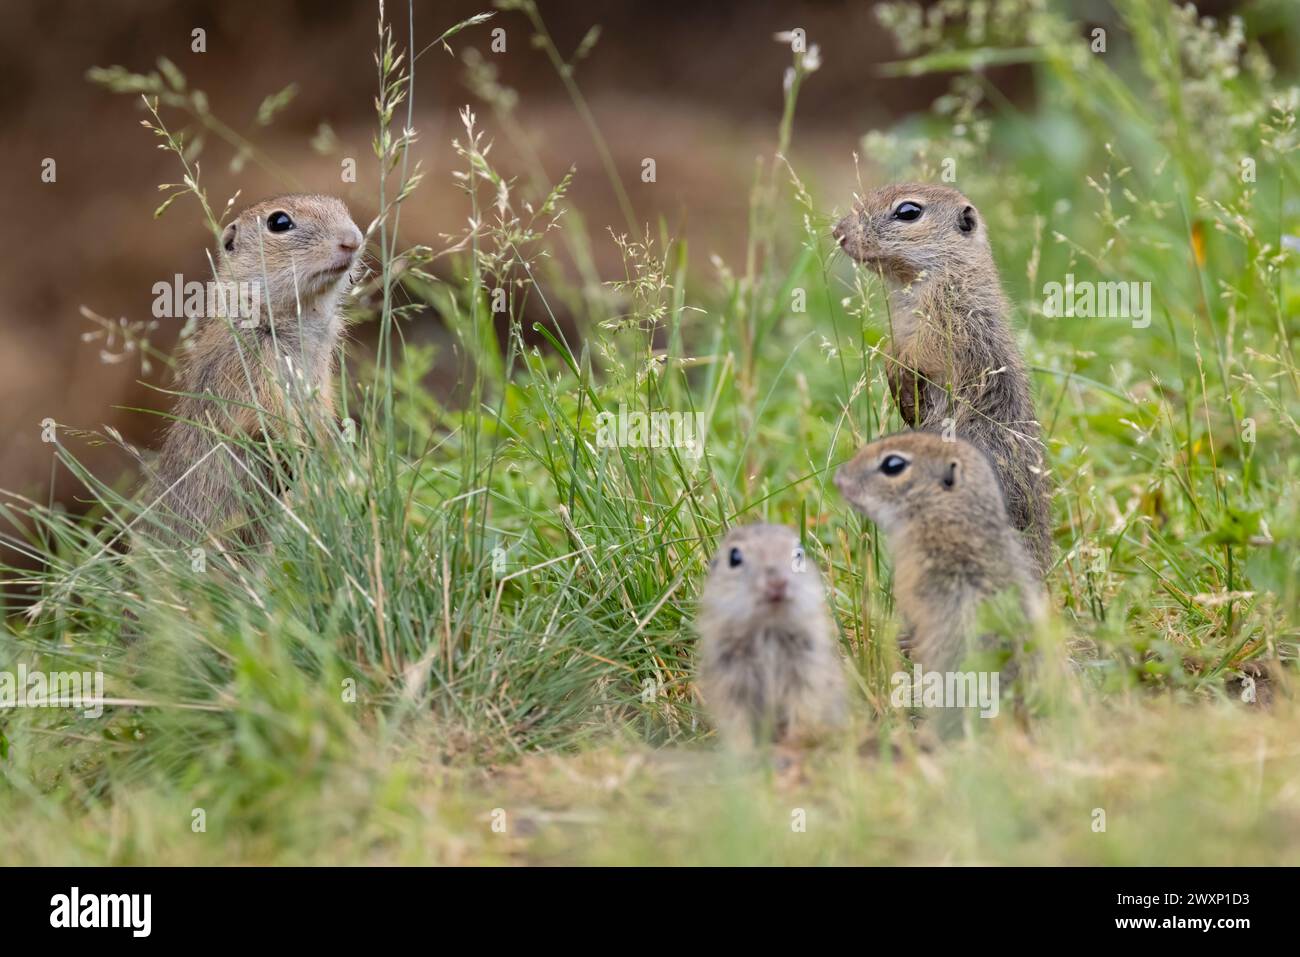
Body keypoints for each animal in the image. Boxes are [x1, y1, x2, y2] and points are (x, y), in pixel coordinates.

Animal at [140, 194, 363, 542]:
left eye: (342, 207)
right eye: (279, 222)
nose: (352, 240)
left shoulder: (319, 374)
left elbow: (321, 408)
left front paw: (327, 449)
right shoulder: (246, 365)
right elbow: (265, 415)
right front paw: (300, 451)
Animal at [696, 523, 848, 748]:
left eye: (799, 553)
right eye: (734, 556)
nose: (777, 583)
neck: (768, 629)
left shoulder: (808, 667)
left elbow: (804, 707)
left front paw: (794, 742)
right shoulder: (728, 677)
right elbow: (736, 720)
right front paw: (744, 750)